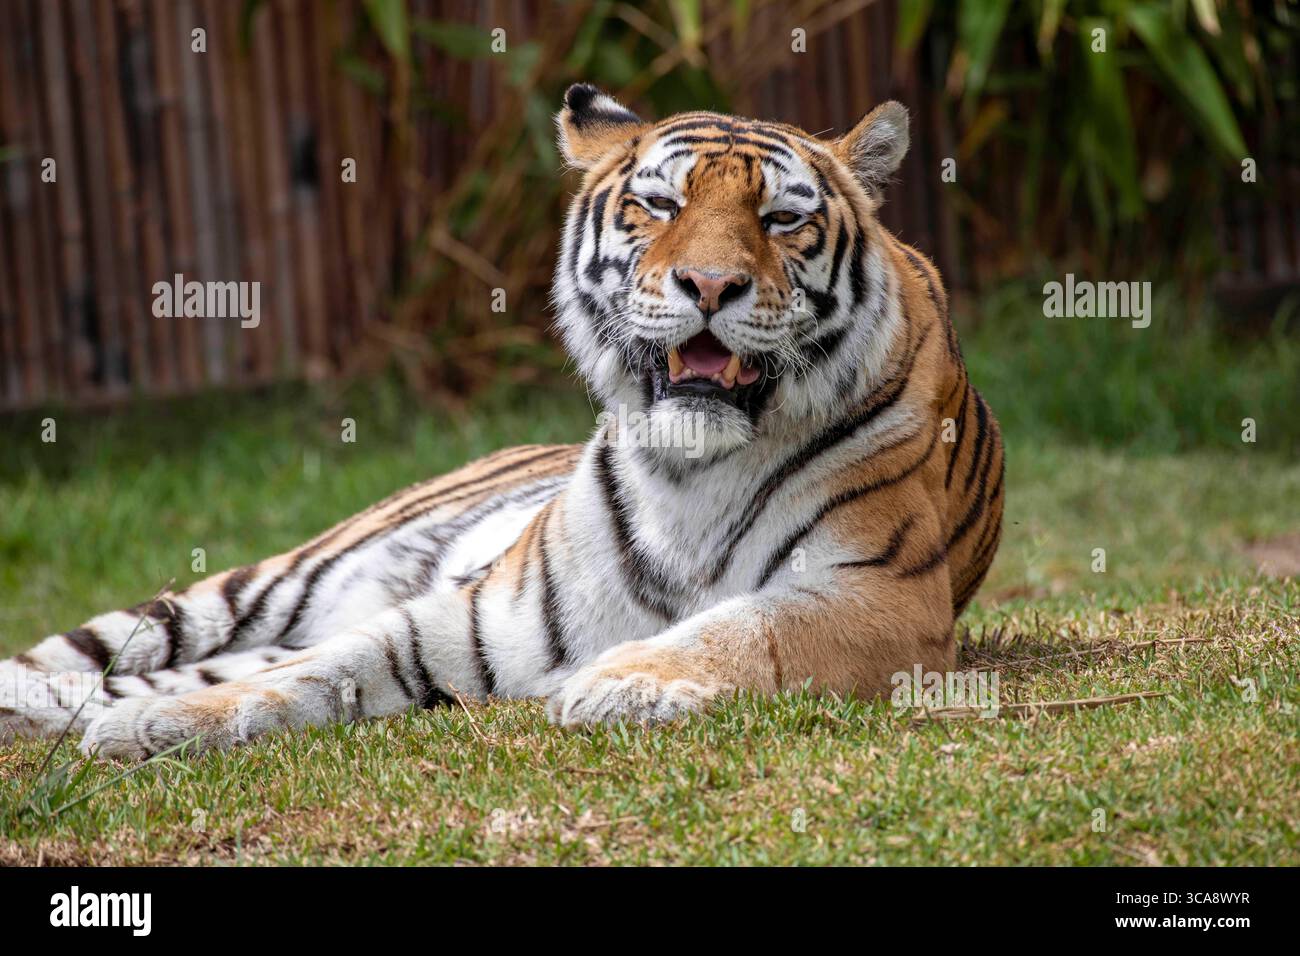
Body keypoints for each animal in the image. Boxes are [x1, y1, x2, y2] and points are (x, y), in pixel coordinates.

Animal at [0, 85, 1004, 759]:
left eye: (781, 218)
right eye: (660, 206)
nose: (710, 284)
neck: (690, 473)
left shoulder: (881, 597)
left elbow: (745, 629)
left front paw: (621, 683)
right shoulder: (493, 612)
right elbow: (336, 661)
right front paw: (159, 727)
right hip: (261, 586)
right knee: (123, 650)